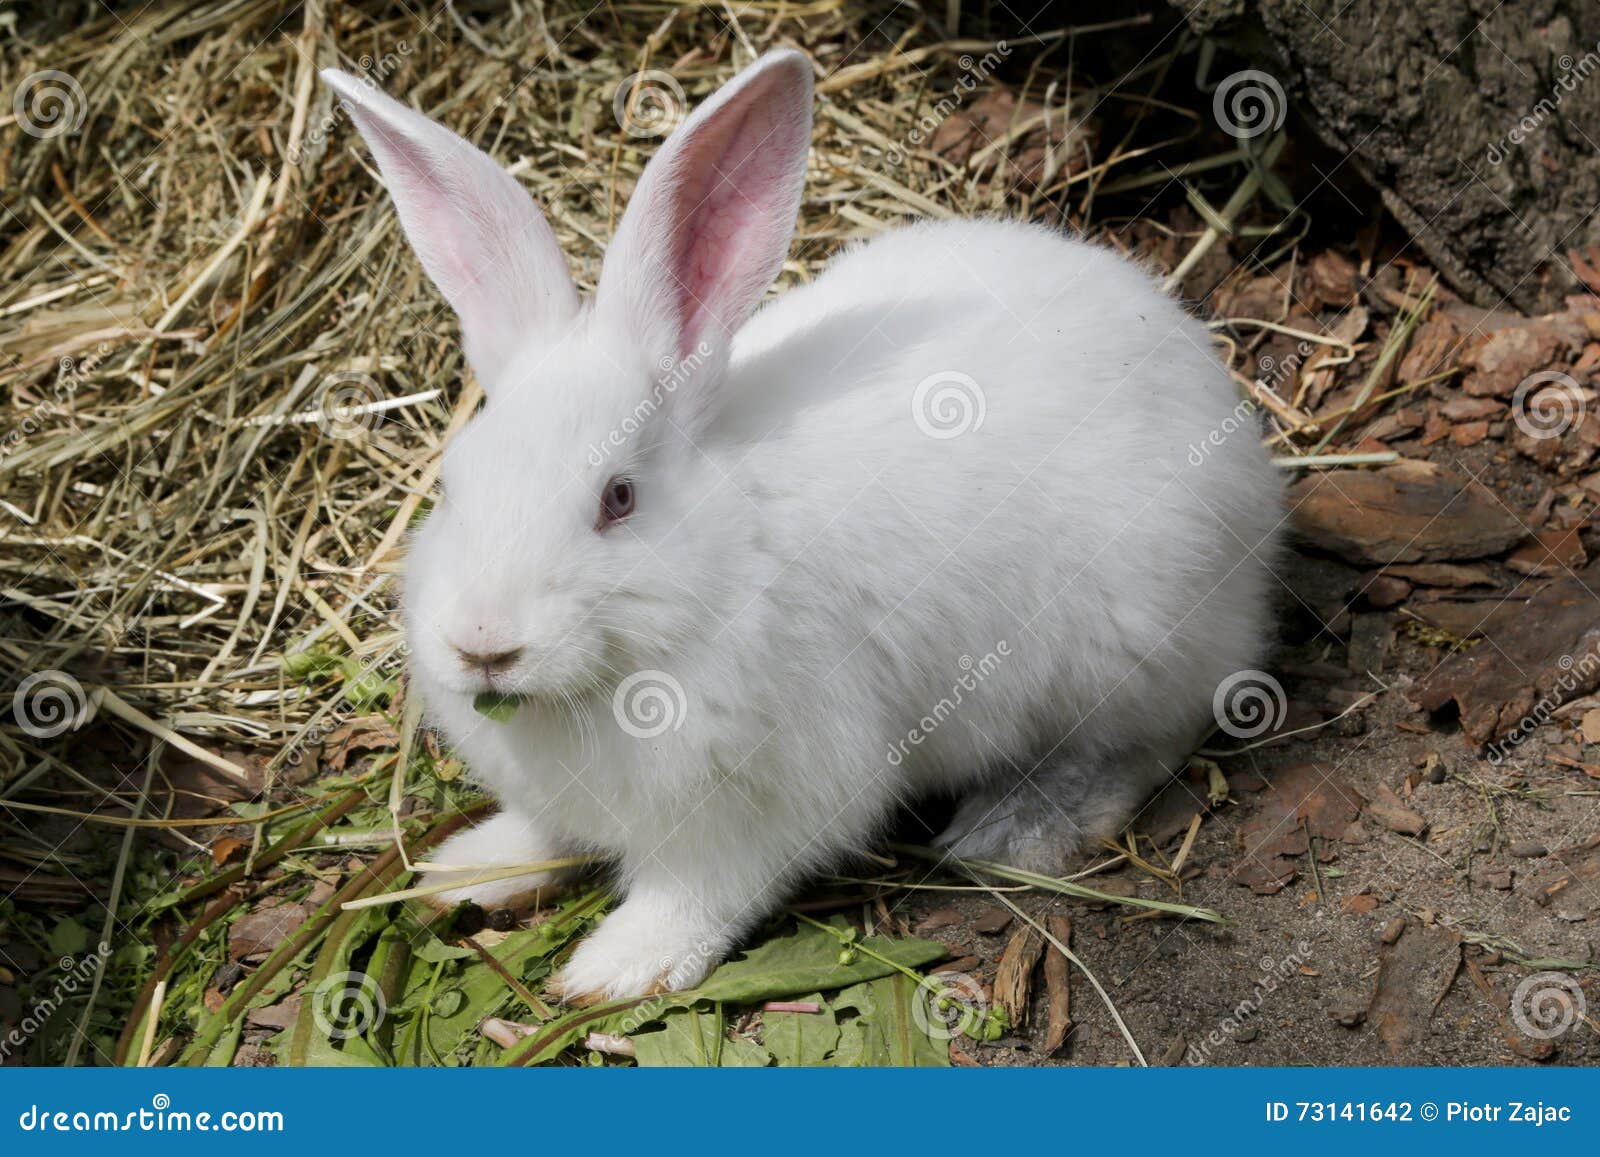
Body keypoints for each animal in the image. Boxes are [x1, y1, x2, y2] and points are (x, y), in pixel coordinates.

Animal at [321, 48, 1282, 1003]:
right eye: (452, 486)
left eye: (618, 498)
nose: (484, 645)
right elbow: (543, 833)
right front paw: (461, 871)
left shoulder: (771, 797)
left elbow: (700, 891)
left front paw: (615, 969)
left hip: (1124, 646)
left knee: (1149, 738)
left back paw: (1017, 823)